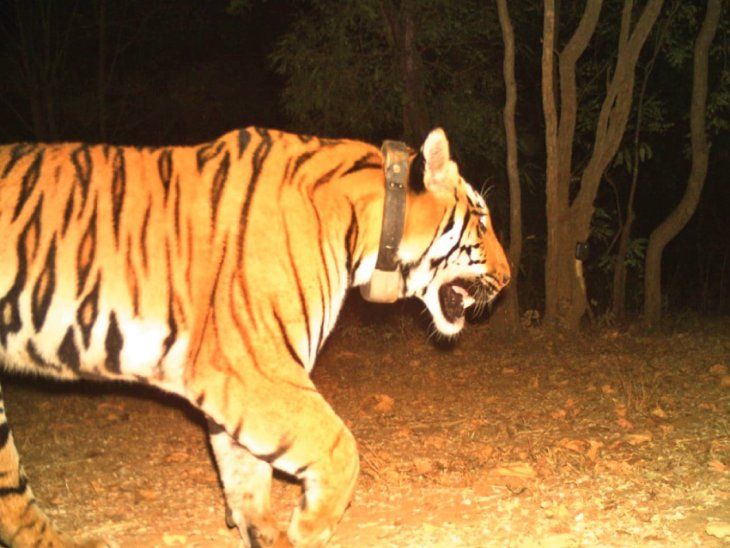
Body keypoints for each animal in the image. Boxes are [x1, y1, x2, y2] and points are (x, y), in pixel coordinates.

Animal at [0, 126, 510, 547]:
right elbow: (339, 447)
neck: (367, 231)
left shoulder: (239, 378)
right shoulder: (252, 364)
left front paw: (268, 533)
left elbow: (246, 473)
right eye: (482, 222)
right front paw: (308, 527)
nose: (508, 279)